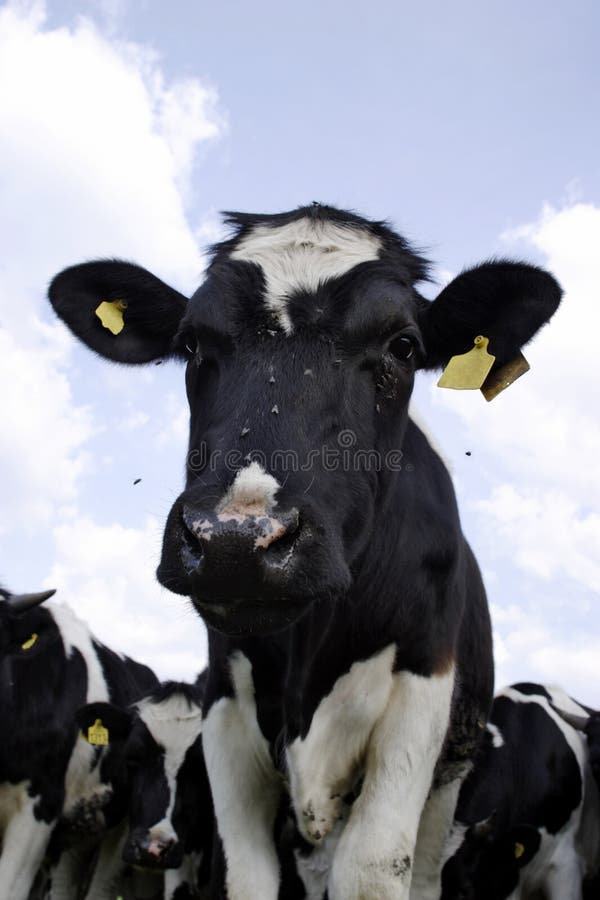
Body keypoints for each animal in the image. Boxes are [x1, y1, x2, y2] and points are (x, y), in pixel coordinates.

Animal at [48, 202, 562, 899]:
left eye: (404, 346)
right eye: (191, 343)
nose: (235, 541)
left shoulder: (418, 703)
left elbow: (372, 868)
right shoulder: (227, 717)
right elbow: (246, 874)